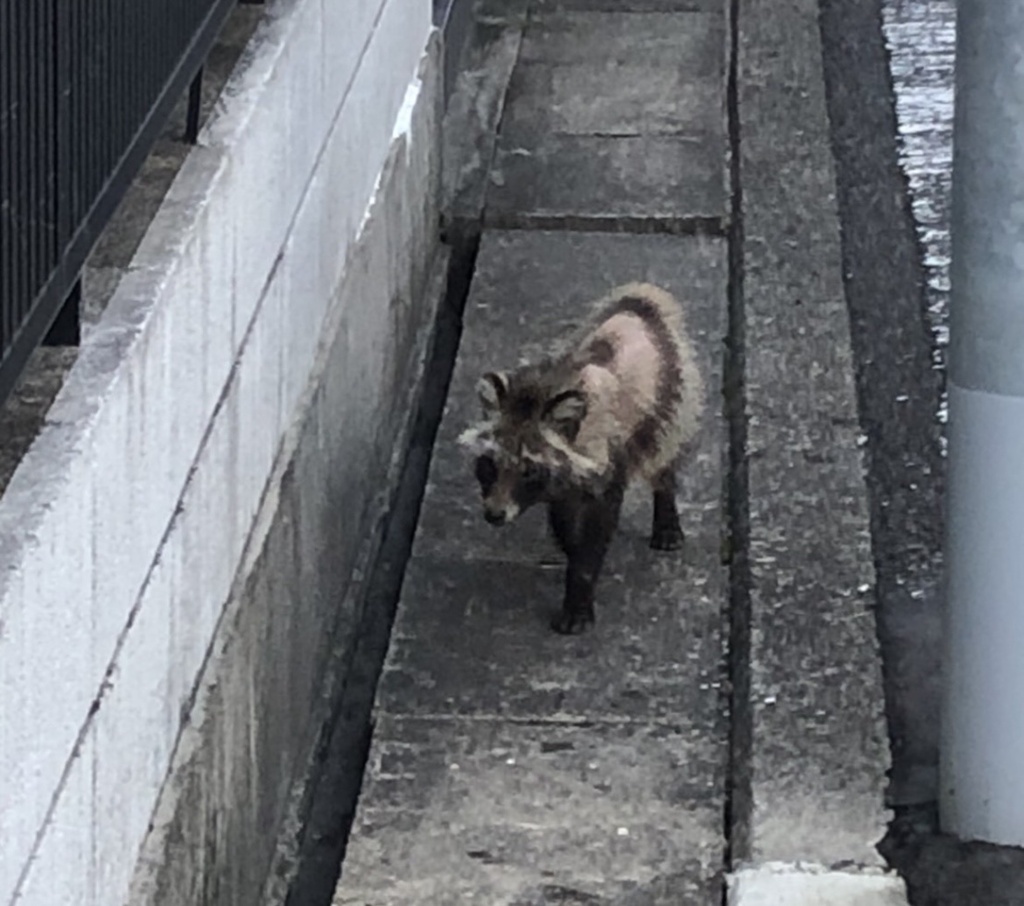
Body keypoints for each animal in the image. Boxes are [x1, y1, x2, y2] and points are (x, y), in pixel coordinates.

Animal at [458, 282, 704, 634]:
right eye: (489, 466)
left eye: (528, 470)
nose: (494, 514)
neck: (544, 393)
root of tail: (641, 299)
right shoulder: (563, 483)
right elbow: (564, 524)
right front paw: (569, 556)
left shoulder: (609, 464)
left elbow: (596, 533)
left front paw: (579, 592)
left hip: (674, 397)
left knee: (663, 456)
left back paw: (666, 509)